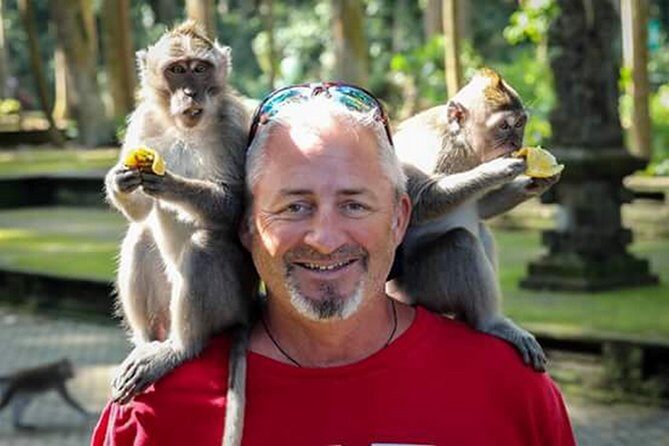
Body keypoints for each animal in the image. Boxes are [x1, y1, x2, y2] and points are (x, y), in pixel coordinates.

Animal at [104, 21, 258, 407]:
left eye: (200, 69)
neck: (183, 128)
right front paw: (120, 180)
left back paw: (179, 349)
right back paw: (145, 343)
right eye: (176, 70)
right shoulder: (142, 120)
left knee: (204, 246)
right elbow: (140, 211)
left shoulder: (233, 124)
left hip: (228, 304)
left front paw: (168, 182)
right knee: (141, 235)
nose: (190, 93)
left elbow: (235, 207)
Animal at [388, 68, 560, 371]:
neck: (463, 146)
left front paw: (537, 182)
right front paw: (497, 170)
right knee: (461, 242)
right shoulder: (430, 146)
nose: (516, 143)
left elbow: (481, 208)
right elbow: (419, 202)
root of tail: (400, 295)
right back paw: (490, 322)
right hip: (425, 286)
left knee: (480, 230)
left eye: (520, 124)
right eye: (505, 126)